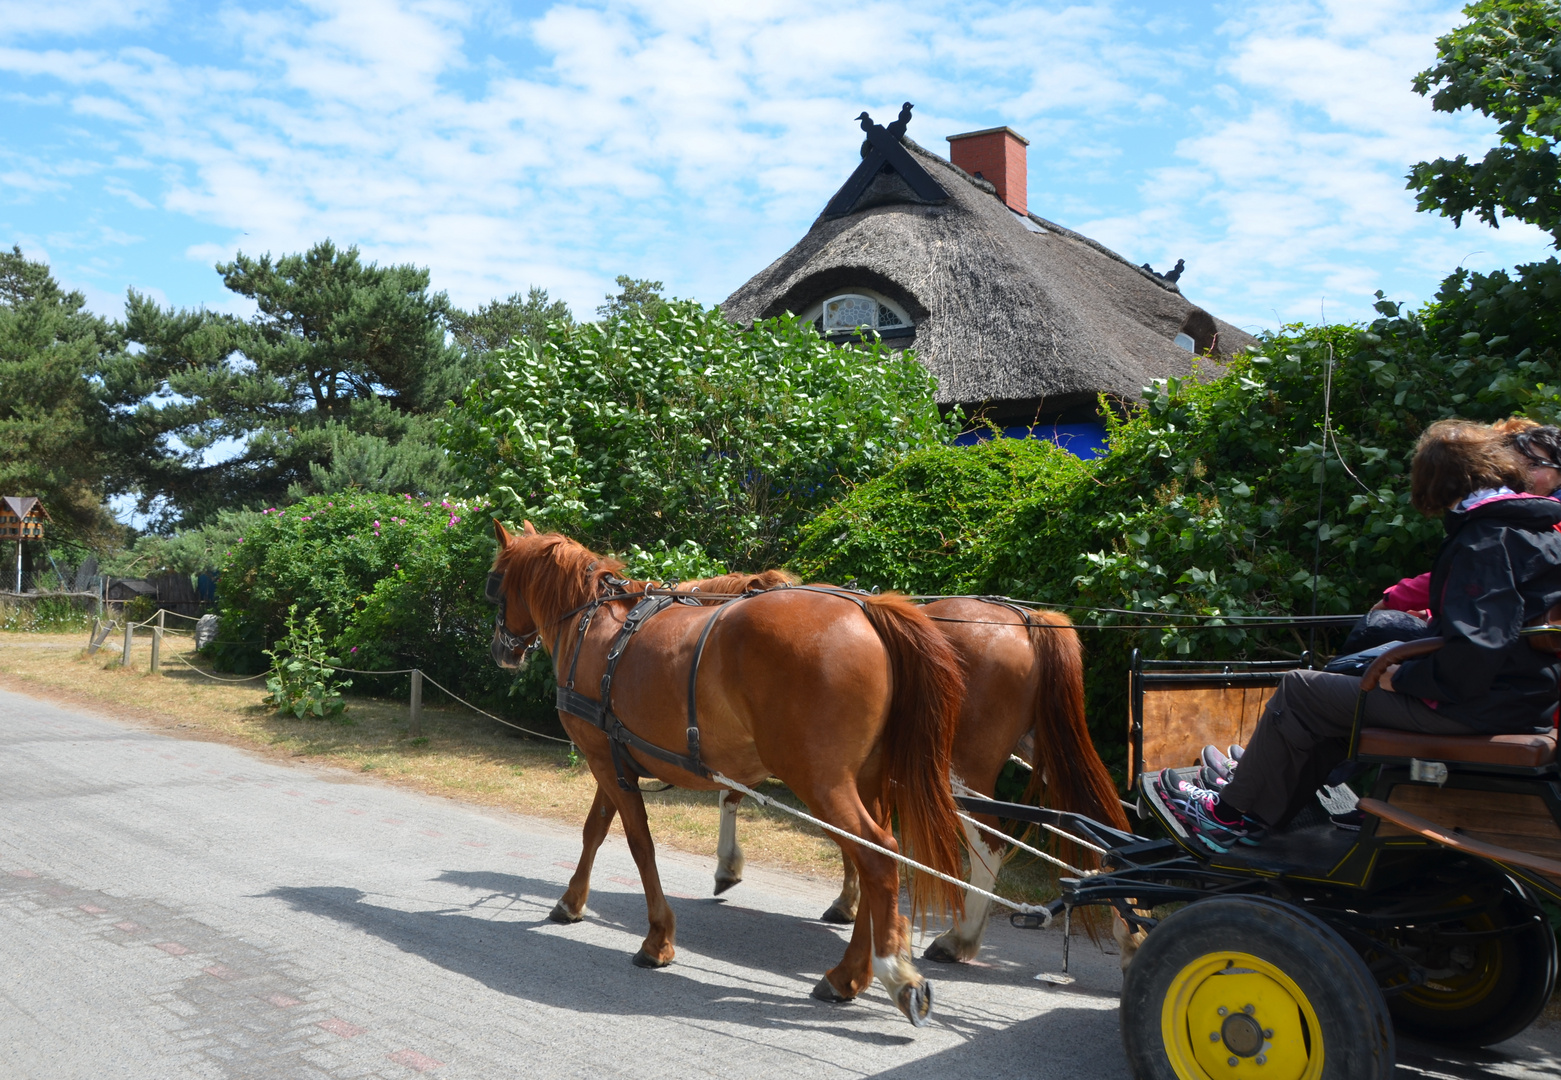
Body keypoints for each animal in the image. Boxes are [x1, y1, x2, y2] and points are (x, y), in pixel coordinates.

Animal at [490, 527, 974, 1023]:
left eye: (495, 583)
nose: (499, 649)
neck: (594, 627)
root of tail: (866, 610)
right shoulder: (611, 755)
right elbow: (595, 830)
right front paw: (571, 902)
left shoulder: (603, 760)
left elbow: (639, 843)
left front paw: (657, 939)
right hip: (866, 782)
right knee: (871, 859)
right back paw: (851, 974)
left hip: (820, 782)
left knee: (878, 855)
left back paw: (890, 970)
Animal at [714, 599, 1130, 961]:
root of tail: (1026, 620)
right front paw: (851, 903)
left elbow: (736, 795)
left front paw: (729, 868)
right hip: (1042, 753)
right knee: (1102, 823)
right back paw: (1128, 931)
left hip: (964, 772)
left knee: (992, 845)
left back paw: (958, 938)